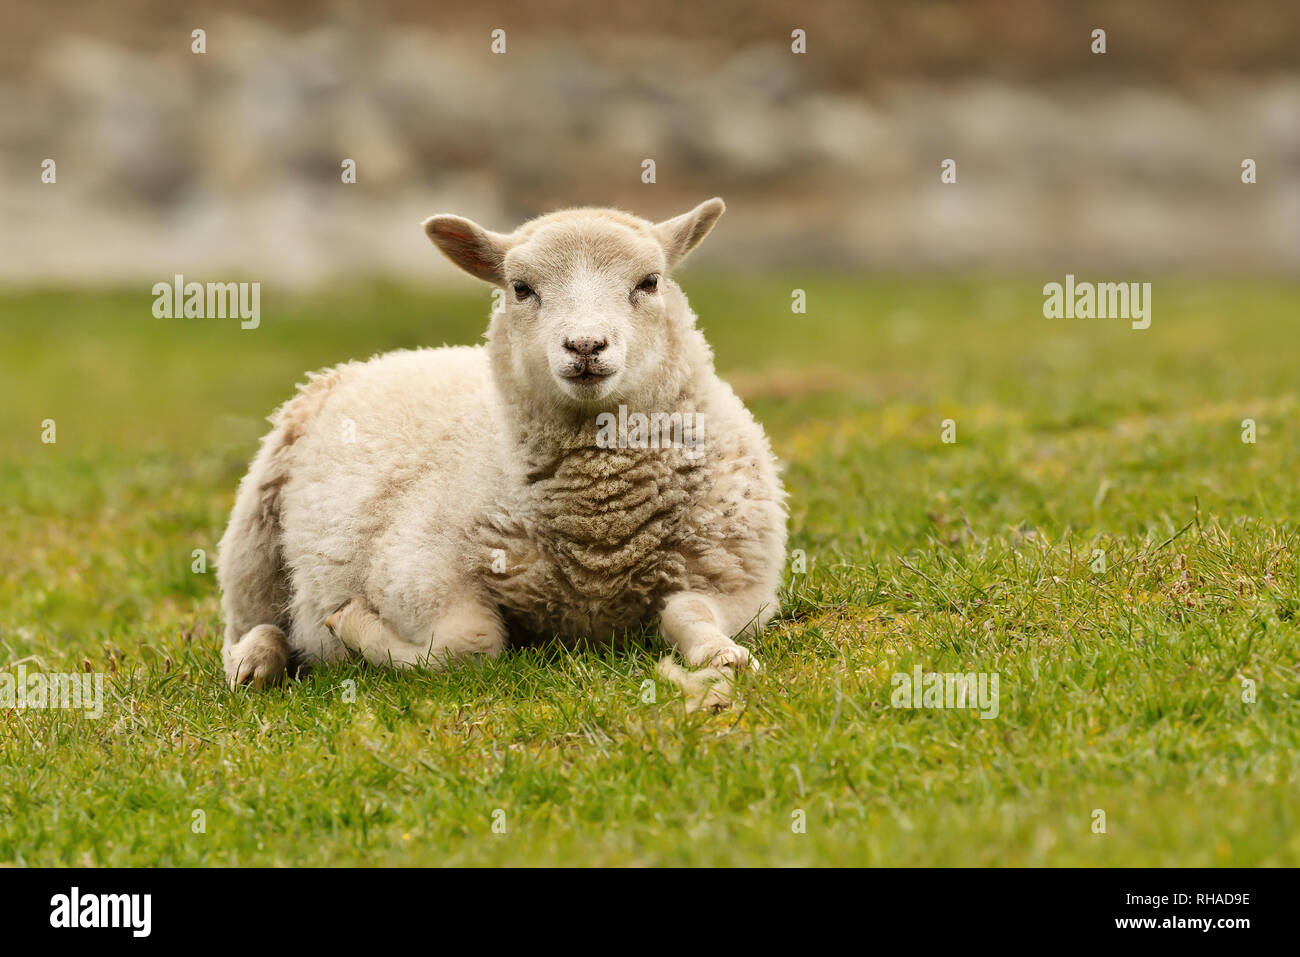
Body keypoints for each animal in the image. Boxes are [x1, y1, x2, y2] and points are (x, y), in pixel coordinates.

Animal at [216, 198, 788, 689]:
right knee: (250, 623)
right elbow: (474, 642)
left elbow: (689, 613)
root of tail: (382, 357)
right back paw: (255, 663)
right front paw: (351, 623)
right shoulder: (414, 575)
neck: (600, 533)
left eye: (649, 282)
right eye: (520, 288)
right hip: (253, 532)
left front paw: (723, 655)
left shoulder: (738, 581)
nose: (585, 345)